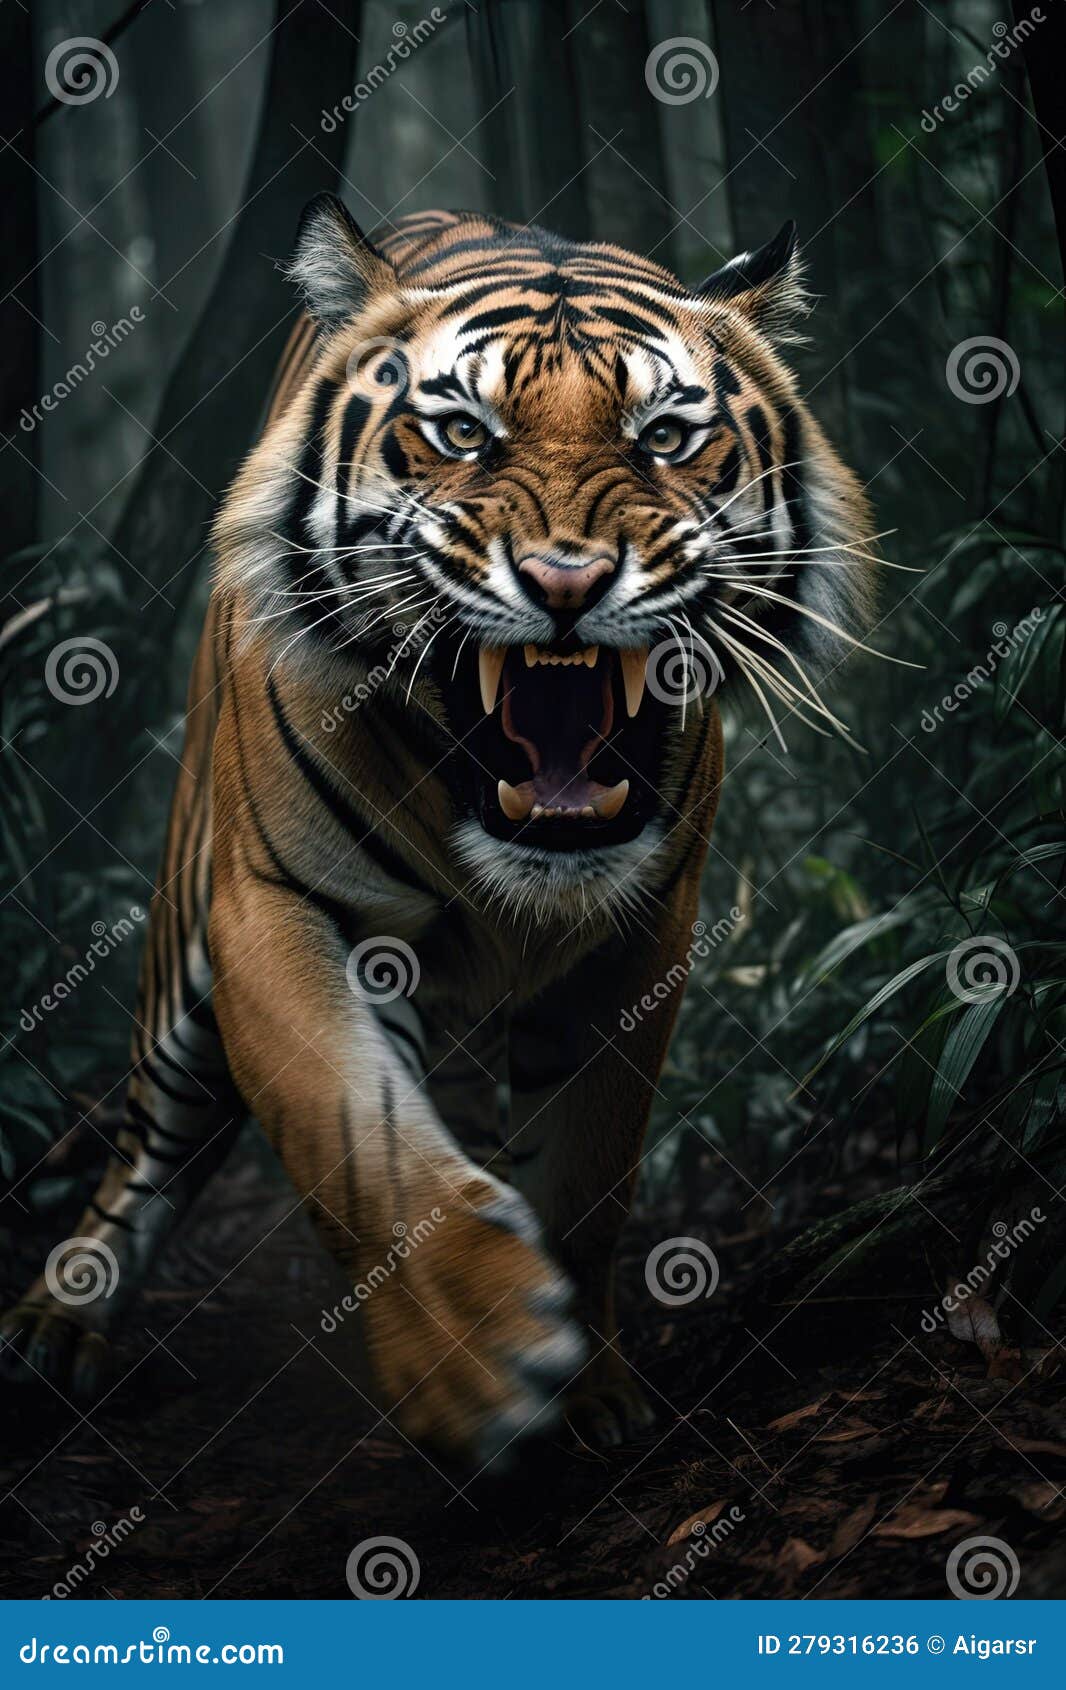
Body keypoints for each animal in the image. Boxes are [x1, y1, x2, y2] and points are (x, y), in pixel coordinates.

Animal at [1, 195, 875, 1467]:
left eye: (665, 435)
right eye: (461, 430)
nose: (567, 580)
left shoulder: (640, 942)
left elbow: (589, 1173)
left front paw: (591, 1390)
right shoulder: (277, 909)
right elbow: (351, 1126)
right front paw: (480, 1353)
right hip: (178, 960)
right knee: (146, 1150)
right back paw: (53, 1327)